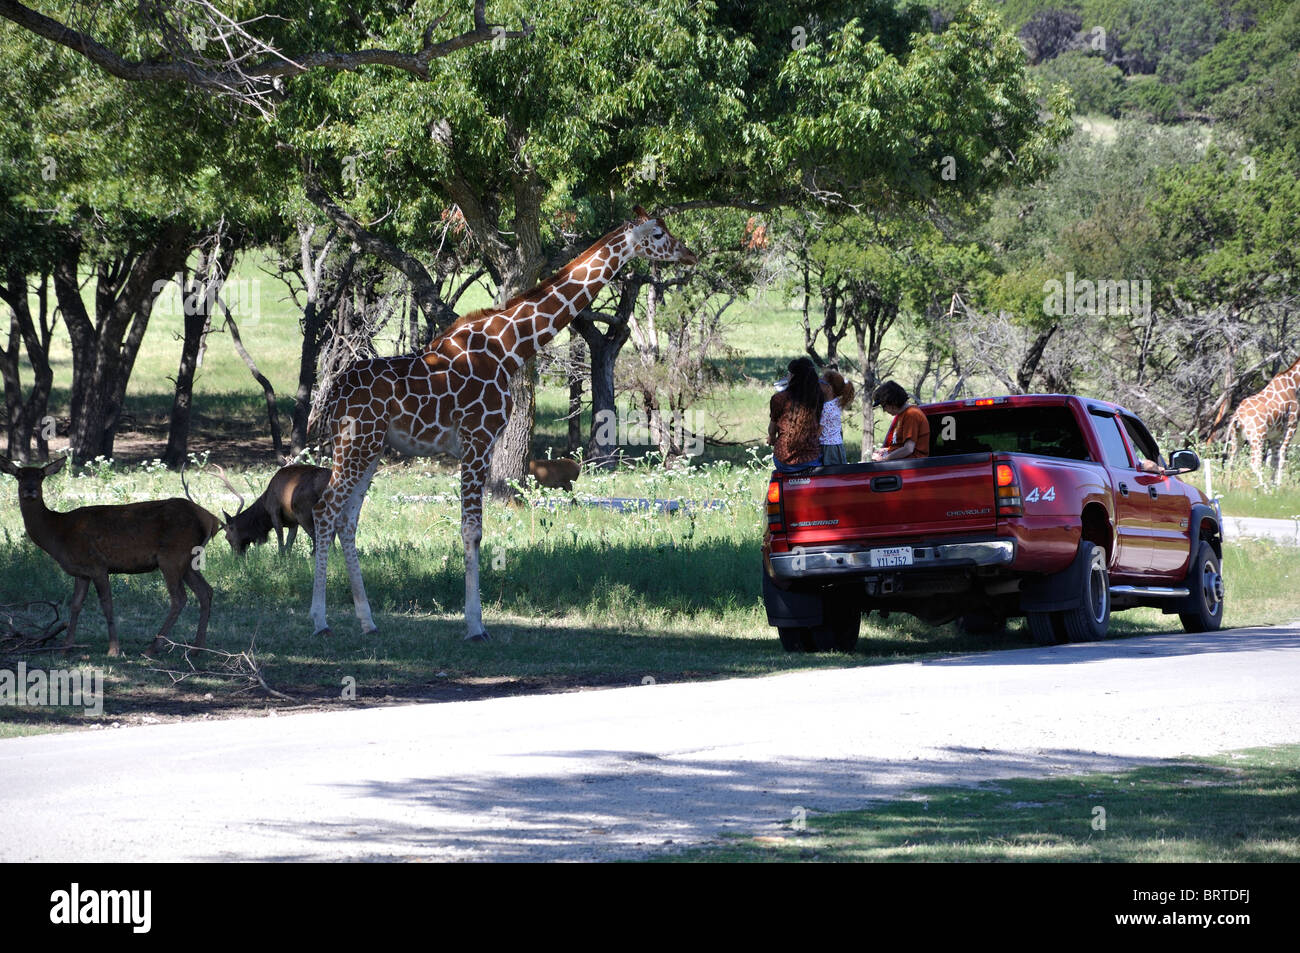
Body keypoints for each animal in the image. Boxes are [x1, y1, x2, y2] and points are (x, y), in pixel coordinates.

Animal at [309, 207, 698, 640]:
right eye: (659, 234)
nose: (690, 254)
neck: (509, 346)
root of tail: (332, 392)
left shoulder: (483, 444)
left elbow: (474, 528)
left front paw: (473, 619)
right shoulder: (476, 440)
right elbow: (472, 530)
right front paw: (475, 625)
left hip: (372, 447)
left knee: (347, 518)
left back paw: (368, 620)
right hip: (356, 441)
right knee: (326, 509)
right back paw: (320, 620)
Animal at [1223, 354, 1300, 486]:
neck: (1294, 383)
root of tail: (1237, 416)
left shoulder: (1275, 435)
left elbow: (1273, 459)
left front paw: (1274, 484)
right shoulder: (1292, 425)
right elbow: (1281, 455)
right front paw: (1278, 485)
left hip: (1236, 437)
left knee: (1231, 461)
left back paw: (1229, 487)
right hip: (1257, 437)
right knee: (1255, 463)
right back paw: (1263, 488)